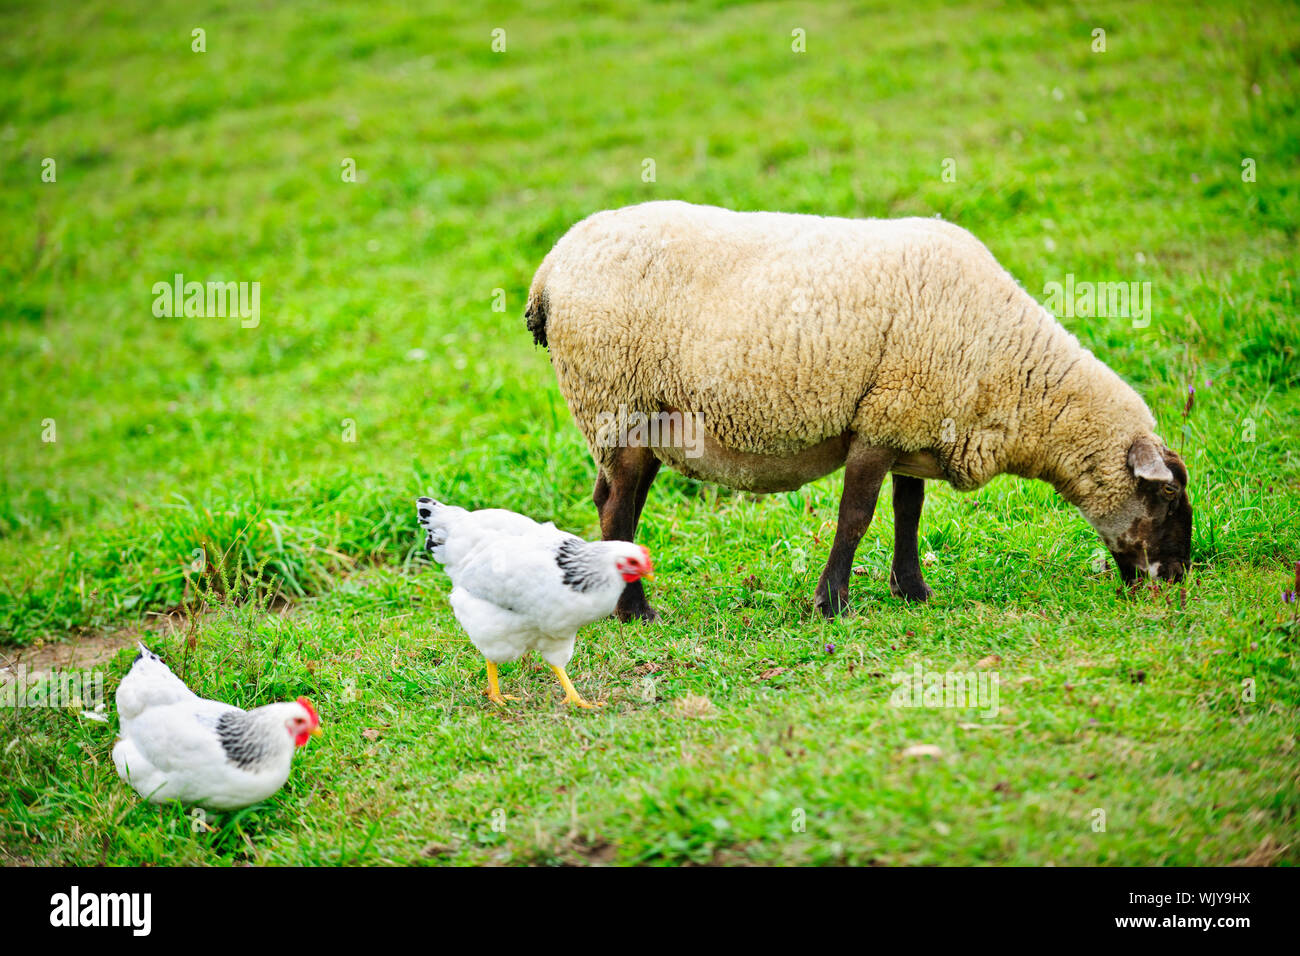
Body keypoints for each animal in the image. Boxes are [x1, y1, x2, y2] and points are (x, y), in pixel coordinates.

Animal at [525, 200, 1192, 620]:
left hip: (638, 418)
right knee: (617, 508)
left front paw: (913, 591)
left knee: (614, 499)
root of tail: (549, 272)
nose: (1181, 577)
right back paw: (636, 613)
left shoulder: (911, 422)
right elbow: (857, 517)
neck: (1008, 372)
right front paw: (834, 604)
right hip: (616, 400)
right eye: (1165, 495)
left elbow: (907, 514)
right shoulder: (880, 423)